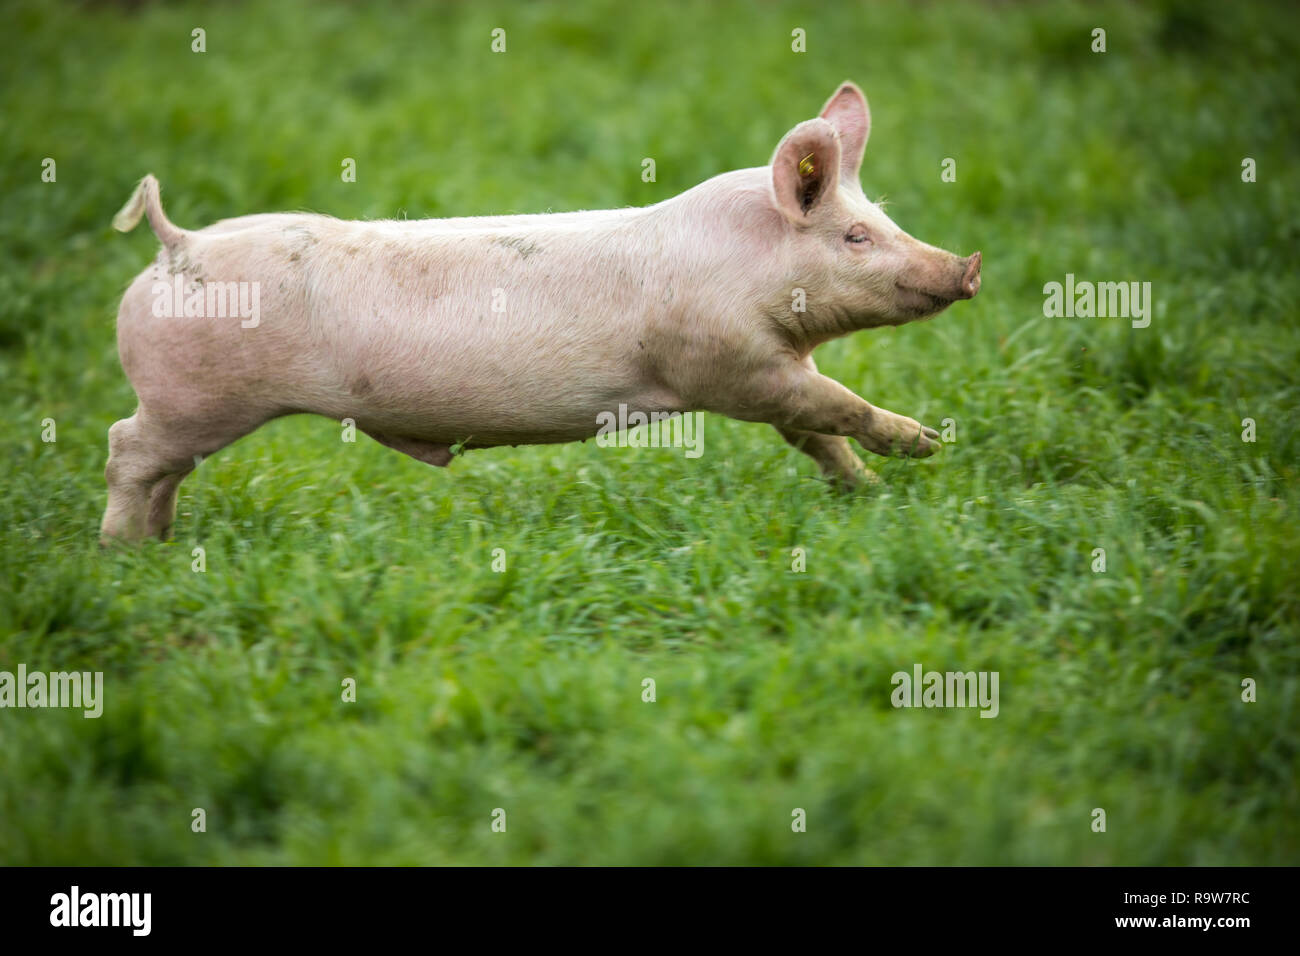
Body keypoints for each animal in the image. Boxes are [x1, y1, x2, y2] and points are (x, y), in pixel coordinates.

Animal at [101, 81, 980, 542]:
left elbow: (814, 432)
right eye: (855, 236)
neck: (746, 266)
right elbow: (836, 404)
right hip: (193, 399)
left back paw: (164, 541)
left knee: (163, 468)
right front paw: (928, 445)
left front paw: (866, 492)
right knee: (126, 447)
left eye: (883, 217)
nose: (967, 267)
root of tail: (175, 242)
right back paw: (121, 552)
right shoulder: (728, 365)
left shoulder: (769, 369)